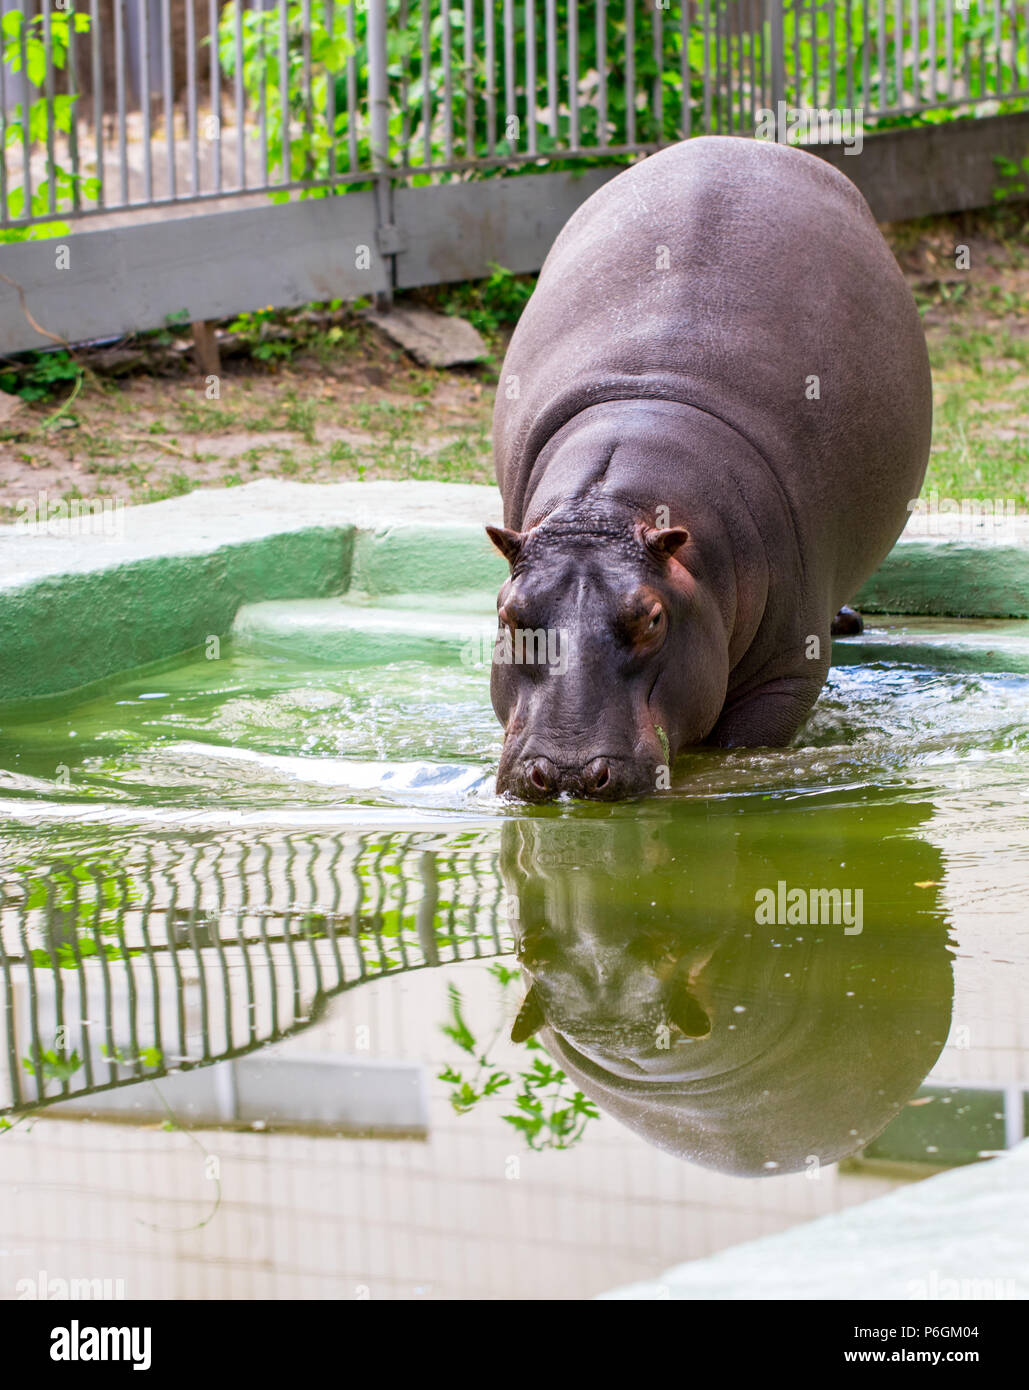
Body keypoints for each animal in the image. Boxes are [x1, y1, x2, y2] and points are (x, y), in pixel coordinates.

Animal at [487, 135, 932, 800]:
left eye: (652, 617)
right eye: (510, 615)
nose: (566, 772)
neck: (607, 508)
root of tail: (737, 141)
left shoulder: (783, 679)